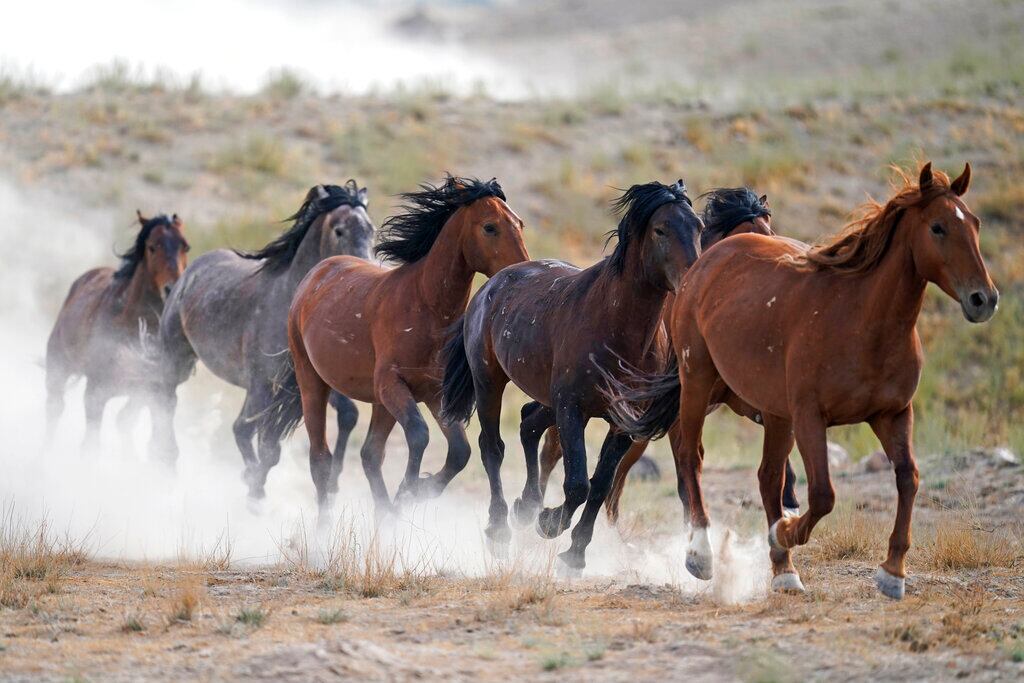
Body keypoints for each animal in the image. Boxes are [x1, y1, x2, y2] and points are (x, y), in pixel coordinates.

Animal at [46, 212, 189, 449]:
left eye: (185, 247)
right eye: (152, 247)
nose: (172, 289)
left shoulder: (158, 394)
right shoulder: (96, 392)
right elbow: (91, 444)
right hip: (58, 367)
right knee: (54, 407)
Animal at [150, 181, 373, 499]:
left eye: (372, 230)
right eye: (339, 230)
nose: (366, 272)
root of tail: (191, 270)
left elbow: (343, 417)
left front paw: (330, 483)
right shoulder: (264, 384)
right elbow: (259, 443)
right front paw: (254, 490)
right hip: (176, 358)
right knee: (168, 402)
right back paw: (166, 459)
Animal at [278, 176, 527, 516]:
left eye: (520, 223)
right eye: (490, 227)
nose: (523, 269)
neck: (425, 305)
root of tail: (317, 273)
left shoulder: (433, 393)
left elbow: (459, 451)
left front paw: (416, 491)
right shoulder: (392, 384)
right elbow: (419, 435)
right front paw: (408, 490)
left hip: (380, 404)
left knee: (370, 455)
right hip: (313, 381)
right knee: (321, 460)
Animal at [441, 180, 703, 571]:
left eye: (698, 226)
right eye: (660, 229)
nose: (692, 282)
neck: (616, 329)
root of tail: (492, 284)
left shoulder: (623, 421)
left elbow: (600, 483)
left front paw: (574, 552)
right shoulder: (572, 409)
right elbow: (578, 483)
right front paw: (550, 524)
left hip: (547, 398)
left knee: (528, 423)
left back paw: (526, 506)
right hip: (489, 382)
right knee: (493, 447)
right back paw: (500, 527)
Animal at [605, 163, 997, 599]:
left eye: (975, 224)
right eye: (938, 227)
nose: (983, 299)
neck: (862, 320)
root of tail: (702, 268)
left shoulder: (893, 414)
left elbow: (907, 478)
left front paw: (892, 572)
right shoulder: (810, 416)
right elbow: (823, 494)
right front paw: (784, 533)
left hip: (773, 413)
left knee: (766, 476)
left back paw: (784, 572)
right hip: (698, 382)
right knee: (691, 458)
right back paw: (702, 555)